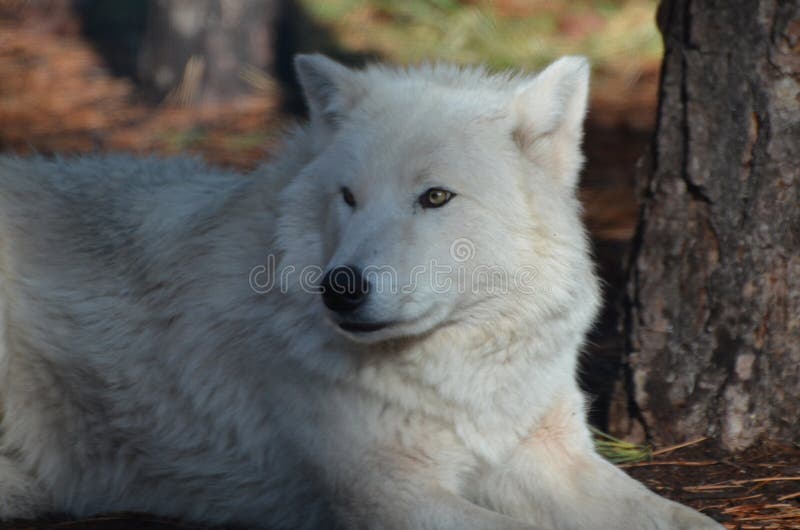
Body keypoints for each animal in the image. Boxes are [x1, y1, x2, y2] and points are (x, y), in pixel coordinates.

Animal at [0, 55, 723, 529]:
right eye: (348, 197)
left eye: (435, 197)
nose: (339, 288)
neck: (458, 378)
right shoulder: (390, 493)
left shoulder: (548, 454)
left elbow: (684, 521)